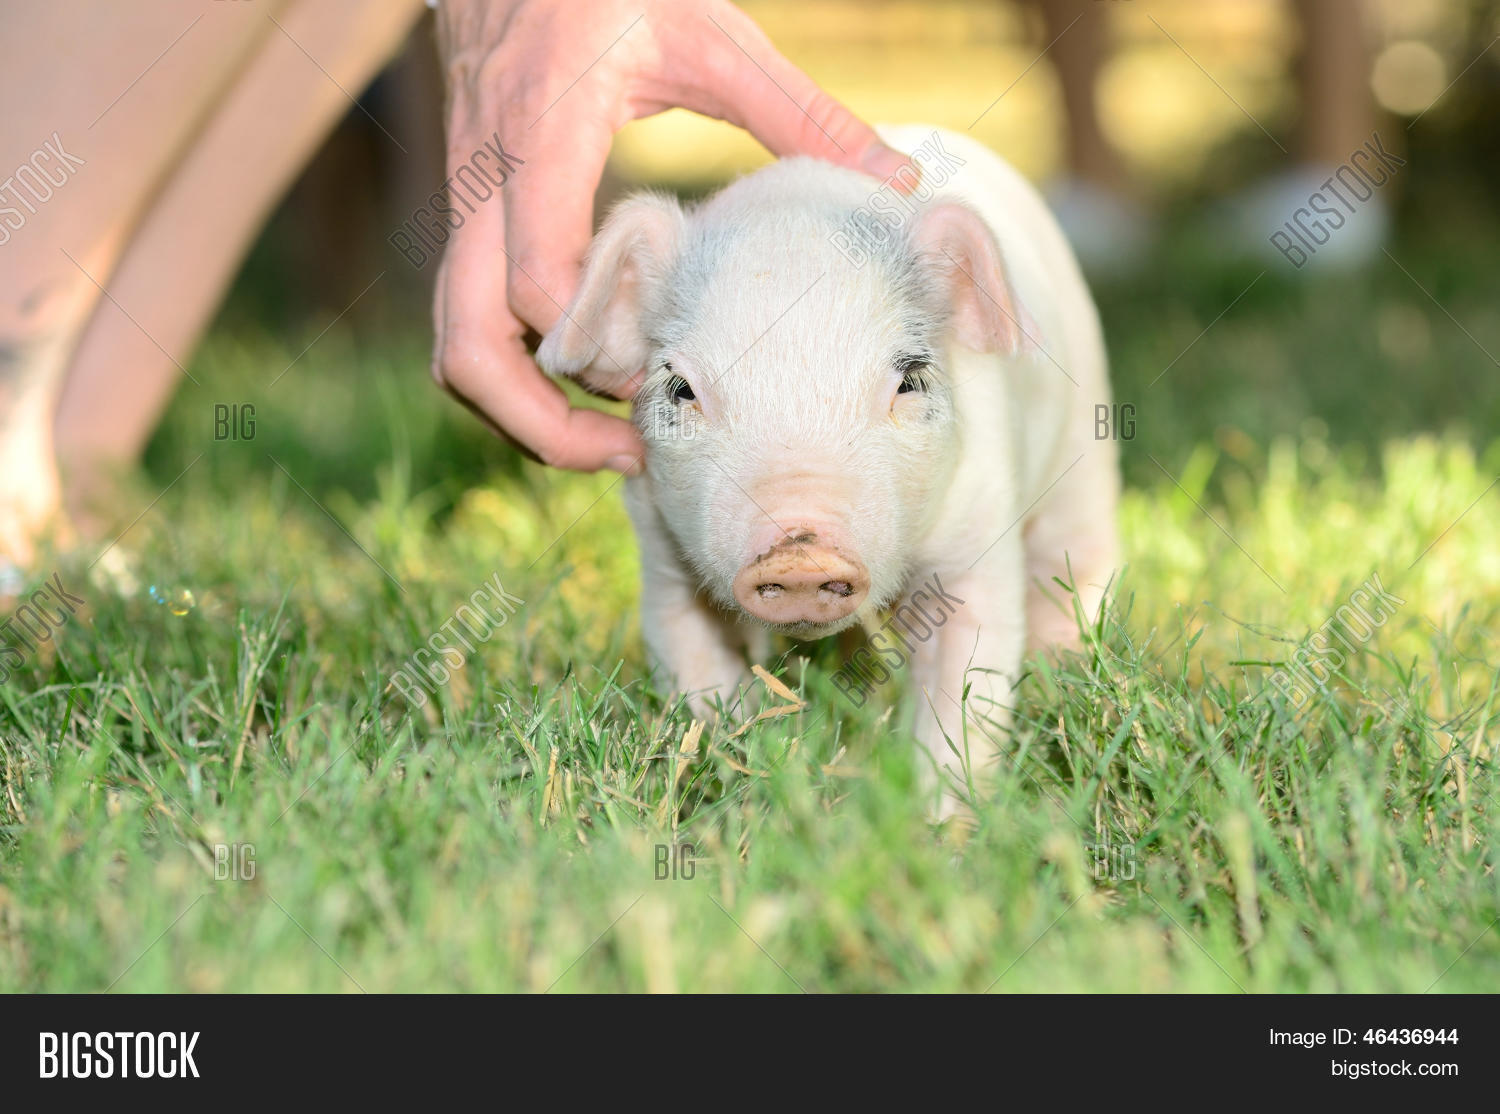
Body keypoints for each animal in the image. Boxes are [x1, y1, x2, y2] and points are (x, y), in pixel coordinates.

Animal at [538, 124, 1119, 818]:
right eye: (681, 388)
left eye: (910, 380)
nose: (799, 551)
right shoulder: (660, 548)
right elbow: (695, 667)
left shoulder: (978, 534)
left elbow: (967, 688)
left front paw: (944, 824)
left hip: (1085, 454)